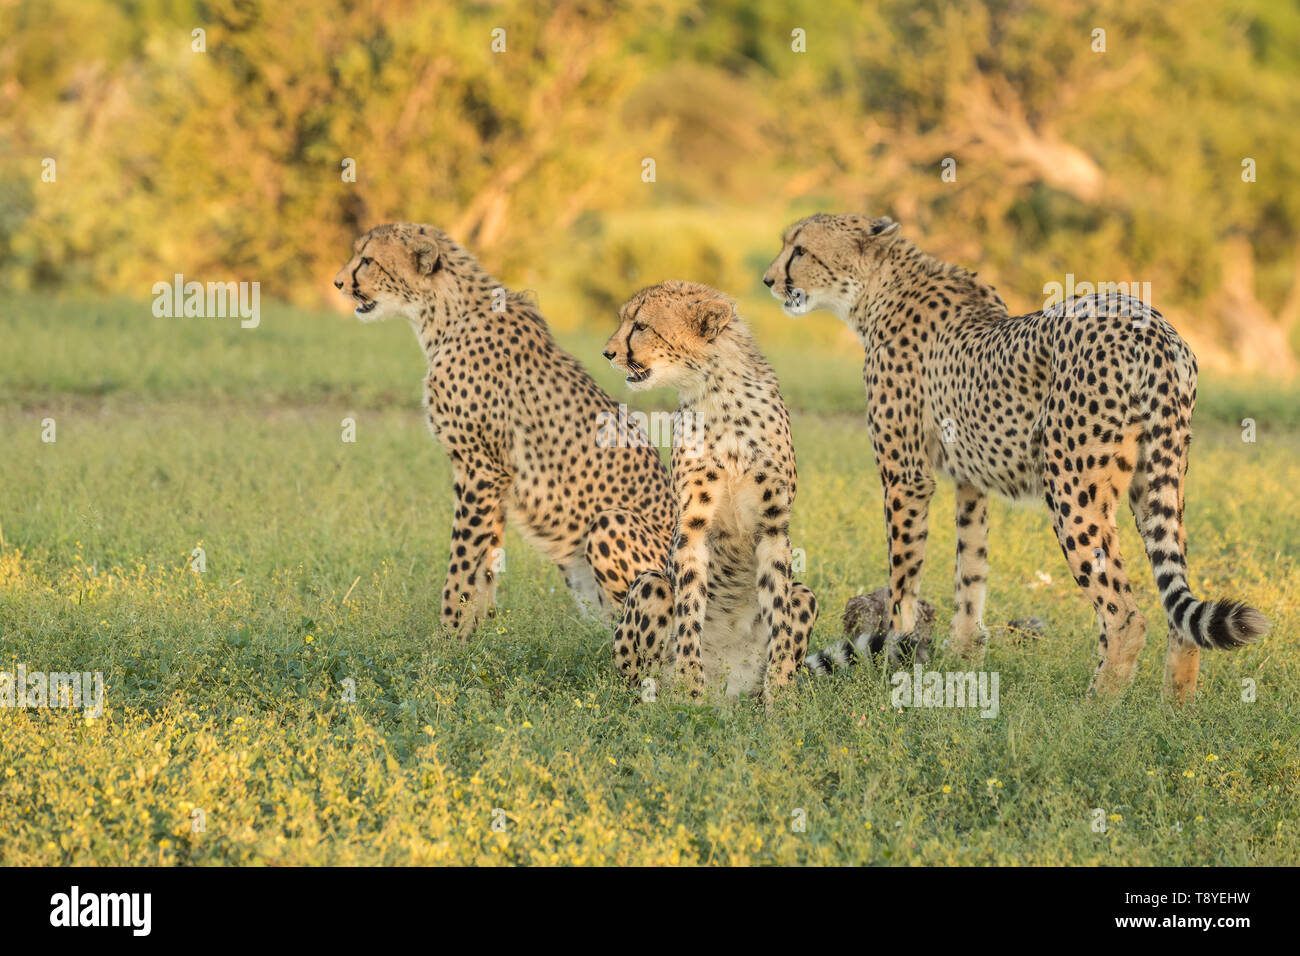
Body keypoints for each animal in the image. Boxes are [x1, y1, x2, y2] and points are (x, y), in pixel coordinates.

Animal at [334, 223, 674, 635]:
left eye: (367, 260)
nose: (338, 282)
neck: (442, 314)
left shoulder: (480, 468)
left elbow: (462, 557)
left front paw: (447, 632)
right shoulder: (493, 474)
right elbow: (486, 558)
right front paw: (479, 629)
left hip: (612, 524)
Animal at [601, 280, 819, 703]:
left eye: (641, 326)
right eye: (624, 321)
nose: (607, 352)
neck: (717, 393)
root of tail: (725, 686)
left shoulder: (773, 526)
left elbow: (780, 617)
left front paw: (781, 695)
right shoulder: (693, 523)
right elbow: (689, 606)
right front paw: (689, 685)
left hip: (806, 595)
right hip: (651, 586)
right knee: (636, 675)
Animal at [763, 212, 1267, 700]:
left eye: (800, 250)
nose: (768, 280)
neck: (879, 287)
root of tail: (1151, 324)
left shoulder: (905, 477)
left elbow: (904, 578)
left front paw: (895, 657)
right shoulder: (970, 481)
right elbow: (971, 569)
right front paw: (963, 657)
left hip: (1070, 485)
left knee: (1125, 613)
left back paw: (1096, 708)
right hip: (1159, 479)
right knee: (1175, 600)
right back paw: (1174, 710)